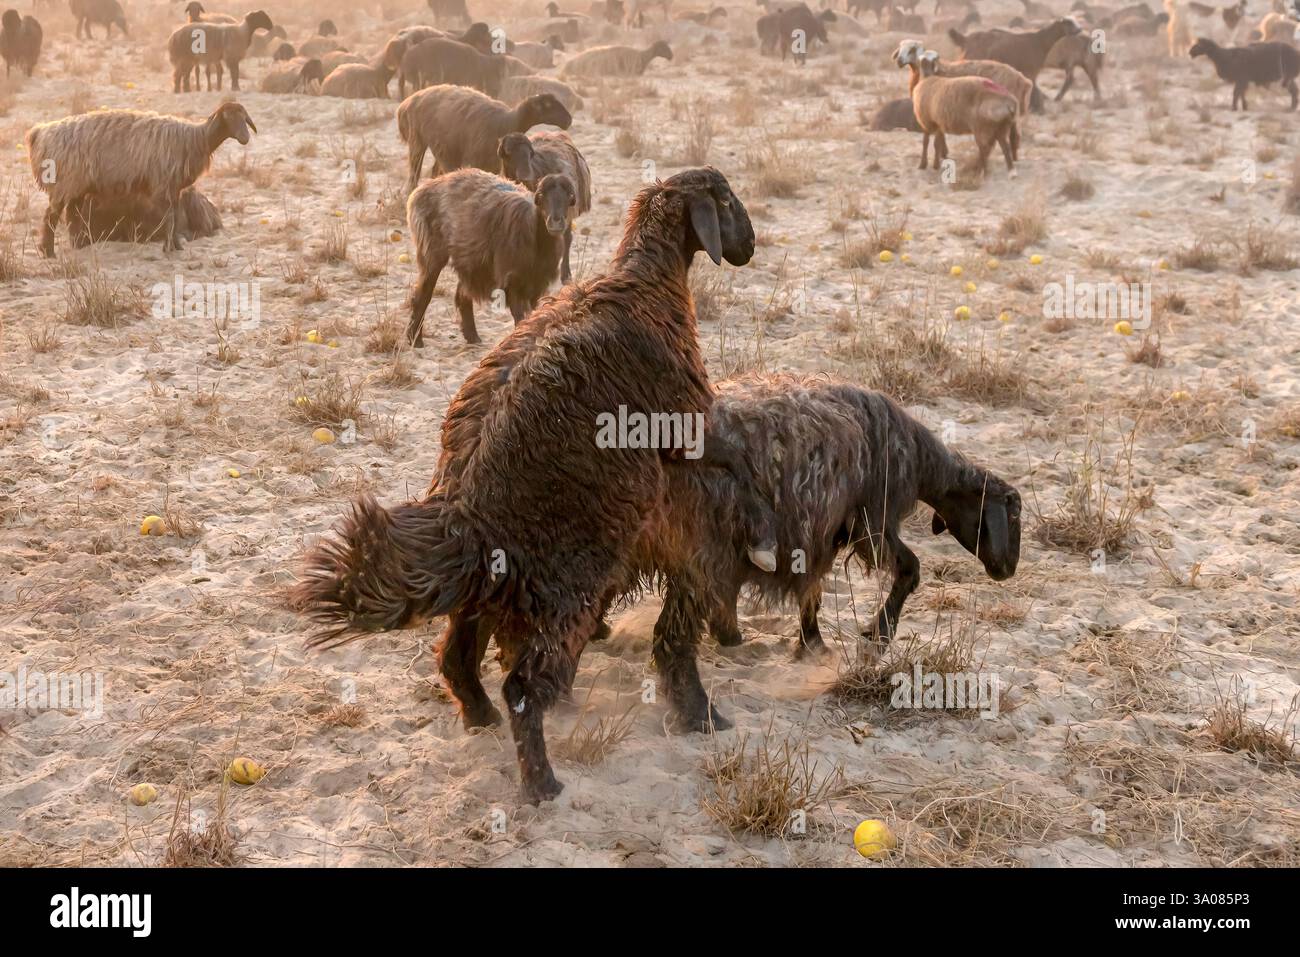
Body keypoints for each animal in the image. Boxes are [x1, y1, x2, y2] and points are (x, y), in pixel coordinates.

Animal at [404, 169, 576, 346]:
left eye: (570, 195)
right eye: (541, 195)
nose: (556, 222)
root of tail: (422, 189)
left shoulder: (536, 284)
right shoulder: (512, 281)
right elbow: (520, 318)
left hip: (470, 261)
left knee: (461, 295)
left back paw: (472, 336)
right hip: (431, 251)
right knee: (423, 294)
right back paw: (415, 340)